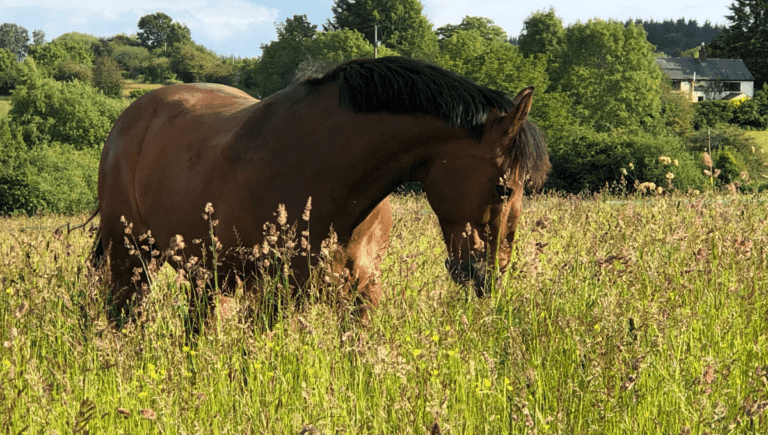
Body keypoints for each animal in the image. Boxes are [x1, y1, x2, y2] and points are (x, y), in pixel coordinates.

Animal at [91, 56, 550, 320]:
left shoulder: (363, 291)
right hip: (130, 258)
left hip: (206, 275)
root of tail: (131, 116)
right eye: (504, 188)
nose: (489, 276)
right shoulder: (277, 294)